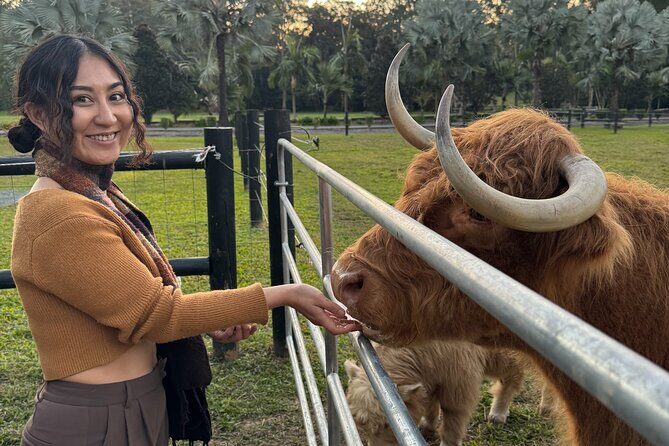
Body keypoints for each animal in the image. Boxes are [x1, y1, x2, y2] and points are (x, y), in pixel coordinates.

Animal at [344, 341, 524, 446]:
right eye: (362, 425)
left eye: (387, 424)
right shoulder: (431, 375)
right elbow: (429, 402)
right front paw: (427, 425)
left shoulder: (458, 382)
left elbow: (453, 419)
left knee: (513, 373)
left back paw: (498, 413)